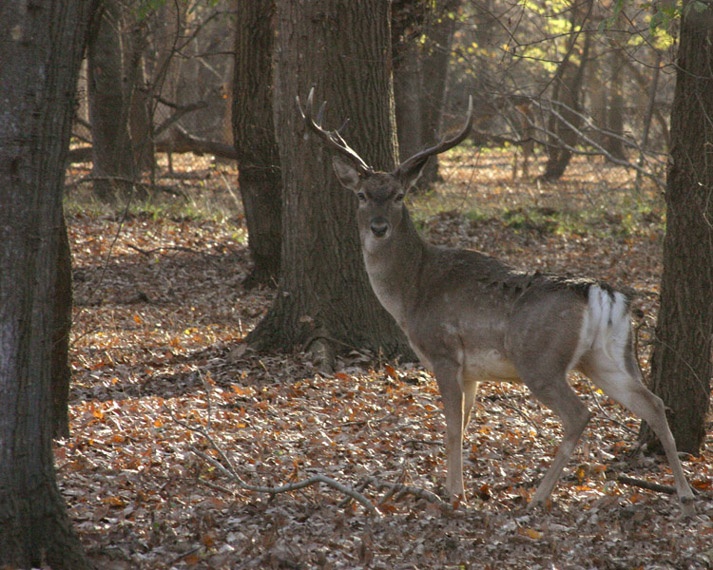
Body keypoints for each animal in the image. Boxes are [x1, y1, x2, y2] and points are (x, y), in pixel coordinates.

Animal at [296, 88, 695, 516]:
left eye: (400, 195)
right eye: (362, 195)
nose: (379, 226)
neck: (411, 292)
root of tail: (600, 292)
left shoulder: (444, 353)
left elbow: (452, 427)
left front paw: (455, 494)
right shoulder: (471, 372)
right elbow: (466, 423)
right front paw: (450, 485)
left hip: (539, 359)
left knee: (579, 414)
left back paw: (538, 496)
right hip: (606, 356)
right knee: (653, 402)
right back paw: (685, 492)